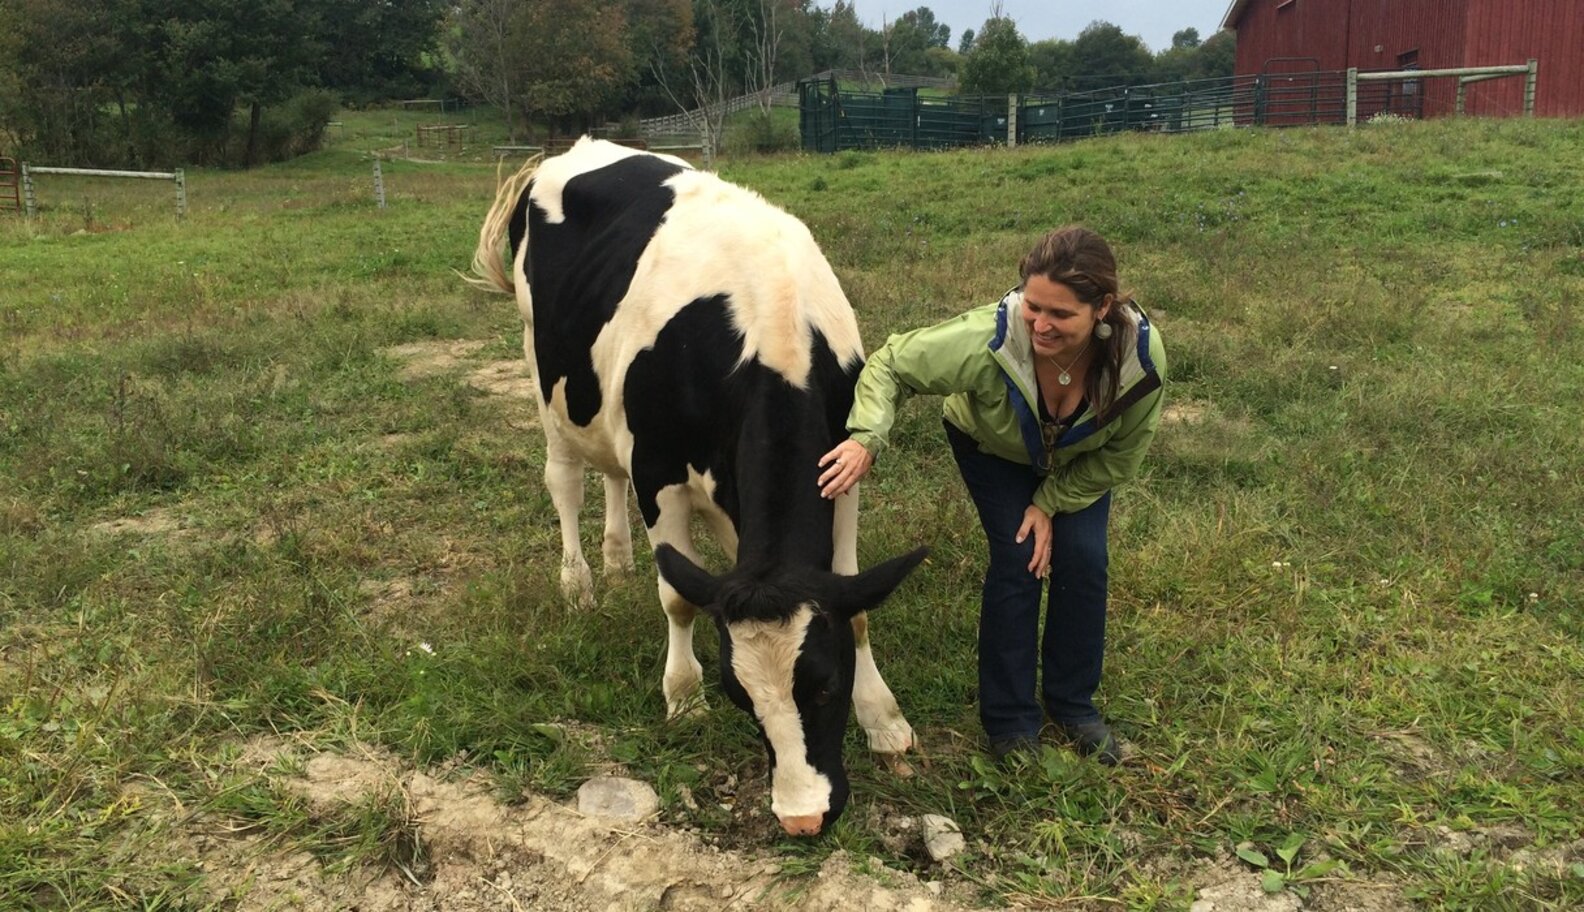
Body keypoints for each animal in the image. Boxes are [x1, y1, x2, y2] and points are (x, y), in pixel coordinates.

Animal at [467, 138, 925, 837]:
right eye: (741, 696)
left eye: (825, 684)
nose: (802, 819)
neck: (772, 327)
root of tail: (575, 149)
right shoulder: (659, 471)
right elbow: (679, 598)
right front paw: (683, 699)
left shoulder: (846, 471)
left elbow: (858, 602)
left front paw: (884, 719)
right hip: (543, 367)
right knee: (566, 479)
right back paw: (580, 582)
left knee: (610, 471)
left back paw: (617, 558)